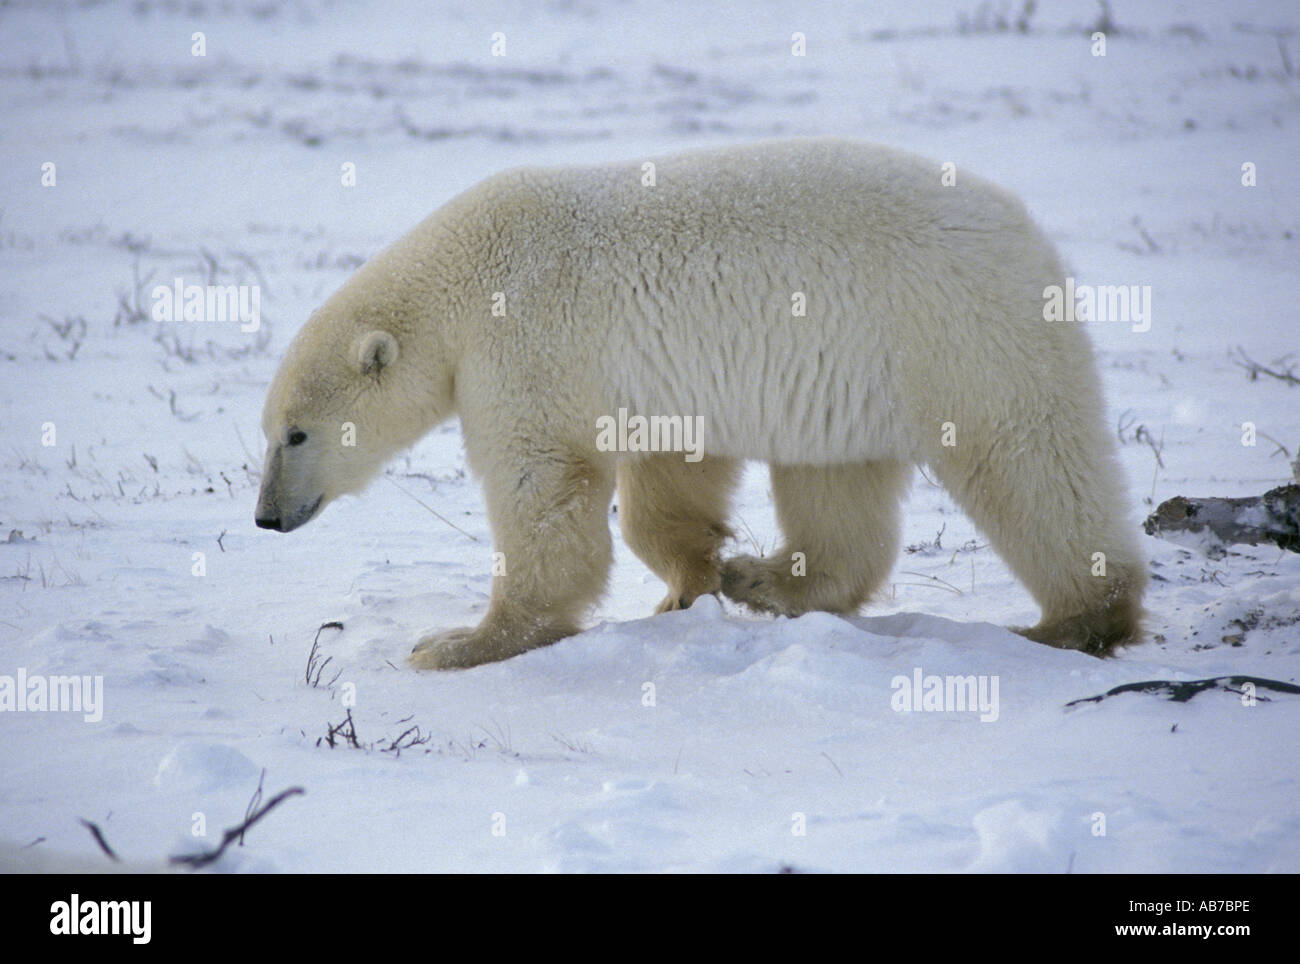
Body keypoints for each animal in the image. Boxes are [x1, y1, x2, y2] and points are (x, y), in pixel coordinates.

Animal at [255, 137, 1146, 669]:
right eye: (268, 431)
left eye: (295, 435)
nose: (265, 517)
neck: (463, 278)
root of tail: (1030, 235)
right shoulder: (647, 374)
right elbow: (671, 469)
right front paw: (696, 576)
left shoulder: (527, 342)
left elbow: (545, 487)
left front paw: (459, 642)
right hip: (864, 370)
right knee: (837, 486)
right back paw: (771, 580)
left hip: (958, 335)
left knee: (1029, 464)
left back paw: (1077, 618)